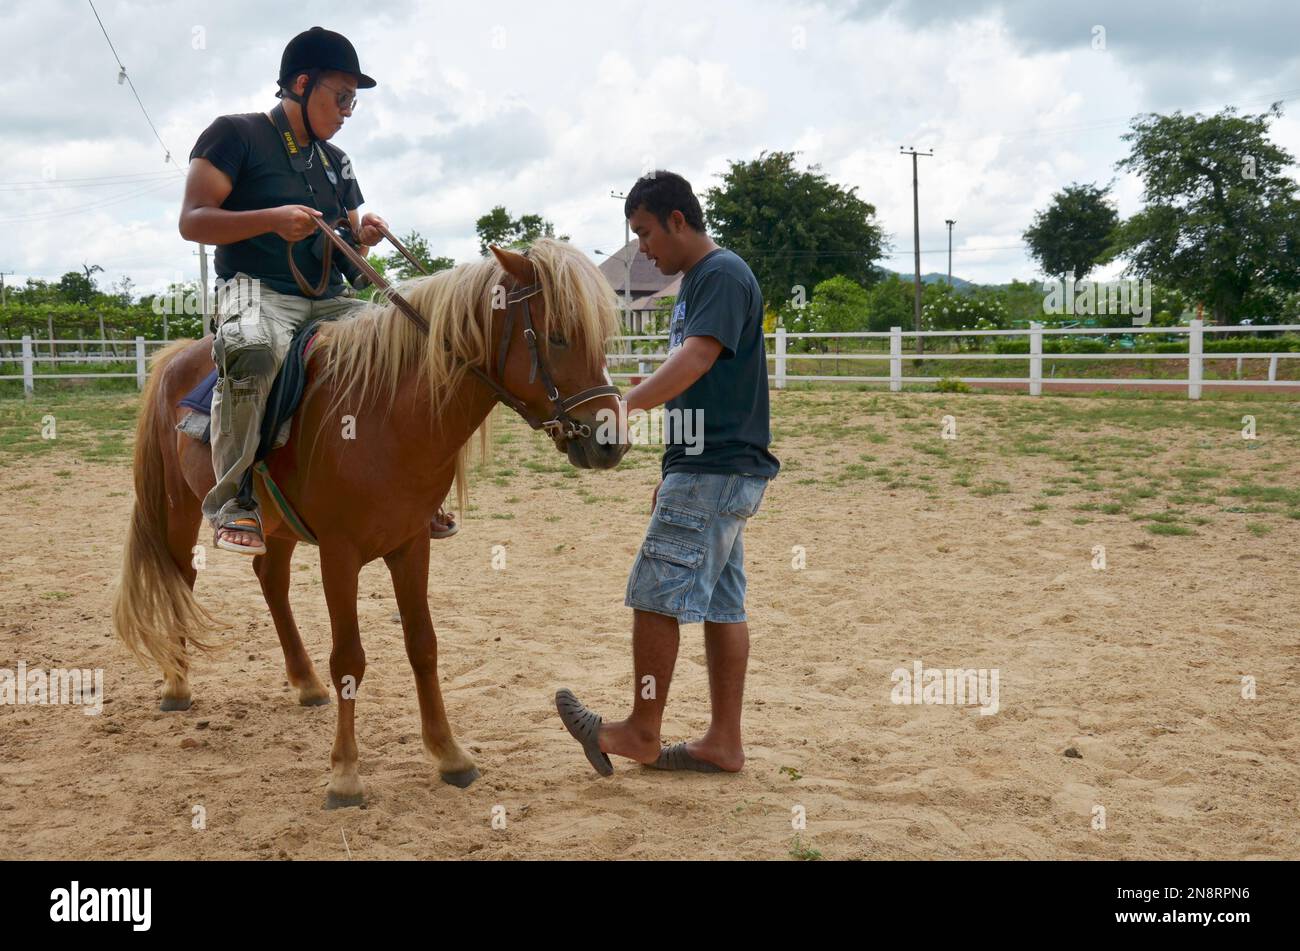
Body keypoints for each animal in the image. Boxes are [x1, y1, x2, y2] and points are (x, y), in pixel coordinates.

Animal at [111, 240, 628, 806]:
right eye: (557, 335)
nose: (611, 442)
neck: (386, 413)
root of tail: (176, 354)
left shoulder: (411, 544)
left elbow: (423, 646)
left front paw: (449, 754)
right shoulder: (340, 554)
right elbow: (349, 660)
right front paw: (345, 774)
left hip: (279, 527)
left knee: (271, 581)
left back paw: (305, 683)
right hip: (180, 509)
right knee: (181, 581)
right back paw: (177, 683)